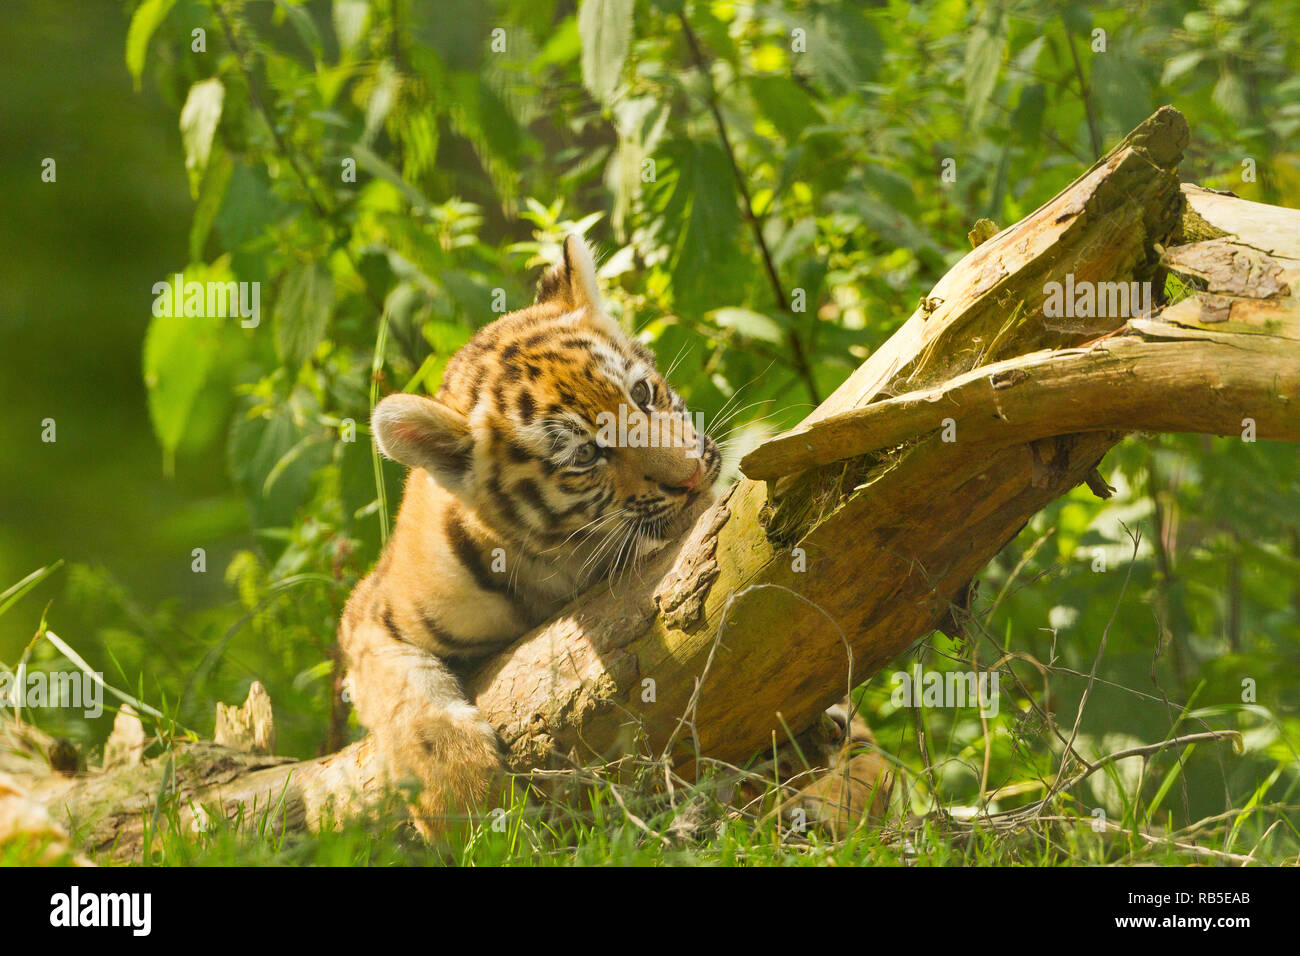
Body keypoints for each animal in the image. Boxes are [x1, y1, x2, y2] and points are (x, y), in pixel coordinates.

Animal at [339, 235, 723, 833]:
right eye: (585, 454)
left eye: (641, 392)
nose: (691, 476)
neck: (557, 562)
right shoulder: (370, 618)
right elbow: (406, 700)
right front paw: (463, 805)